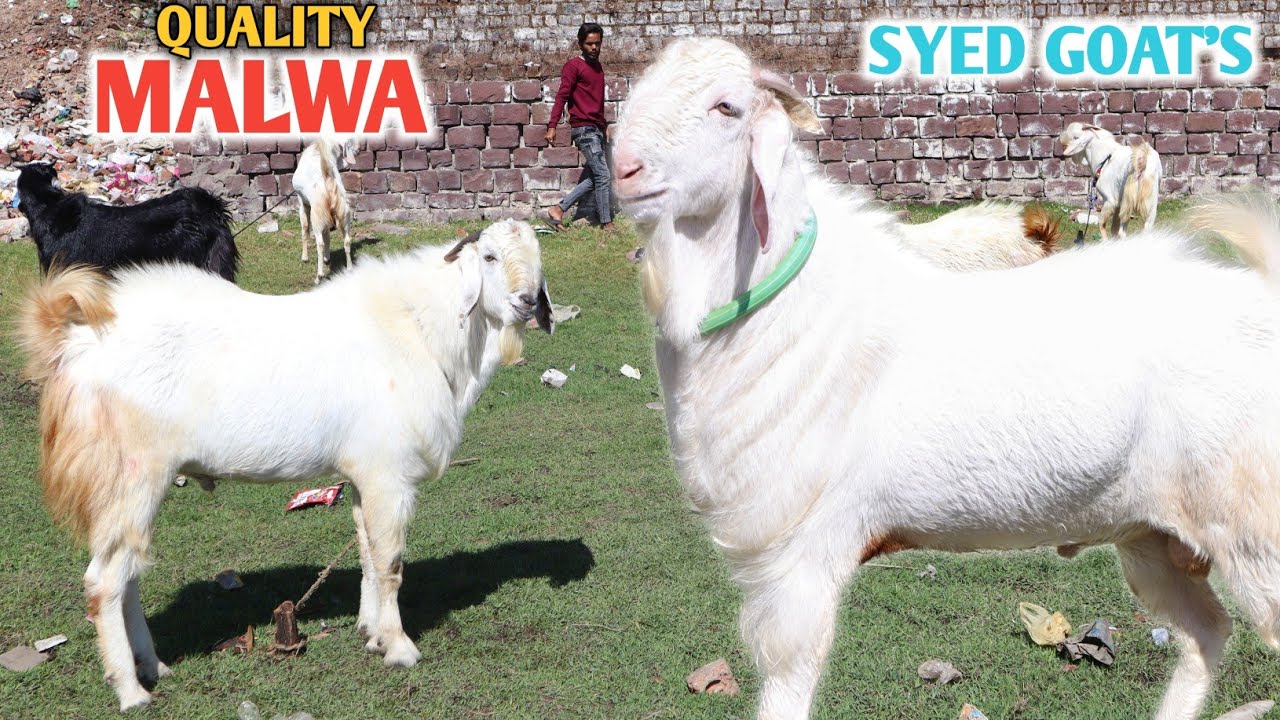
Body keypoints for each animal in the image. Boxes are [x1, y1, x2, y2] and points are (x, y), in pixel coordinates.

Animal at [17, 219, 552, 711]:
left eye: (537, 257)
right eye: (488, 257)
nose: (527, 301)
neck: (419, 329)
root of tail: (76, 340)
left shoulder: (364, 474)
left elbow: (366, 552)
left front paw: (370, 632)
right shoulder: (389, 474)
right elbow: (390, 563)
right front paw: (400, 648)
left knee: (126, 572)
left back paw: (153, 666)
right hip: (131, 474)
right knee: (105, 580)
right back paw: (130, 691)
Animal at [294, 137, 357, 284]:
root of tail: (328, 179)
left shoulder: (302, 202)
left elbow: (305, 229)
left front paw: (304, 258)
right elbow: (327, 234)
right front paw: (327, 259)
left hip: (317, 216)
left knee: (320, 243)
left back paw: (319, 276)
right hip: (344, 213)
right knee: (347, 240)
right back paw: (349, 269)